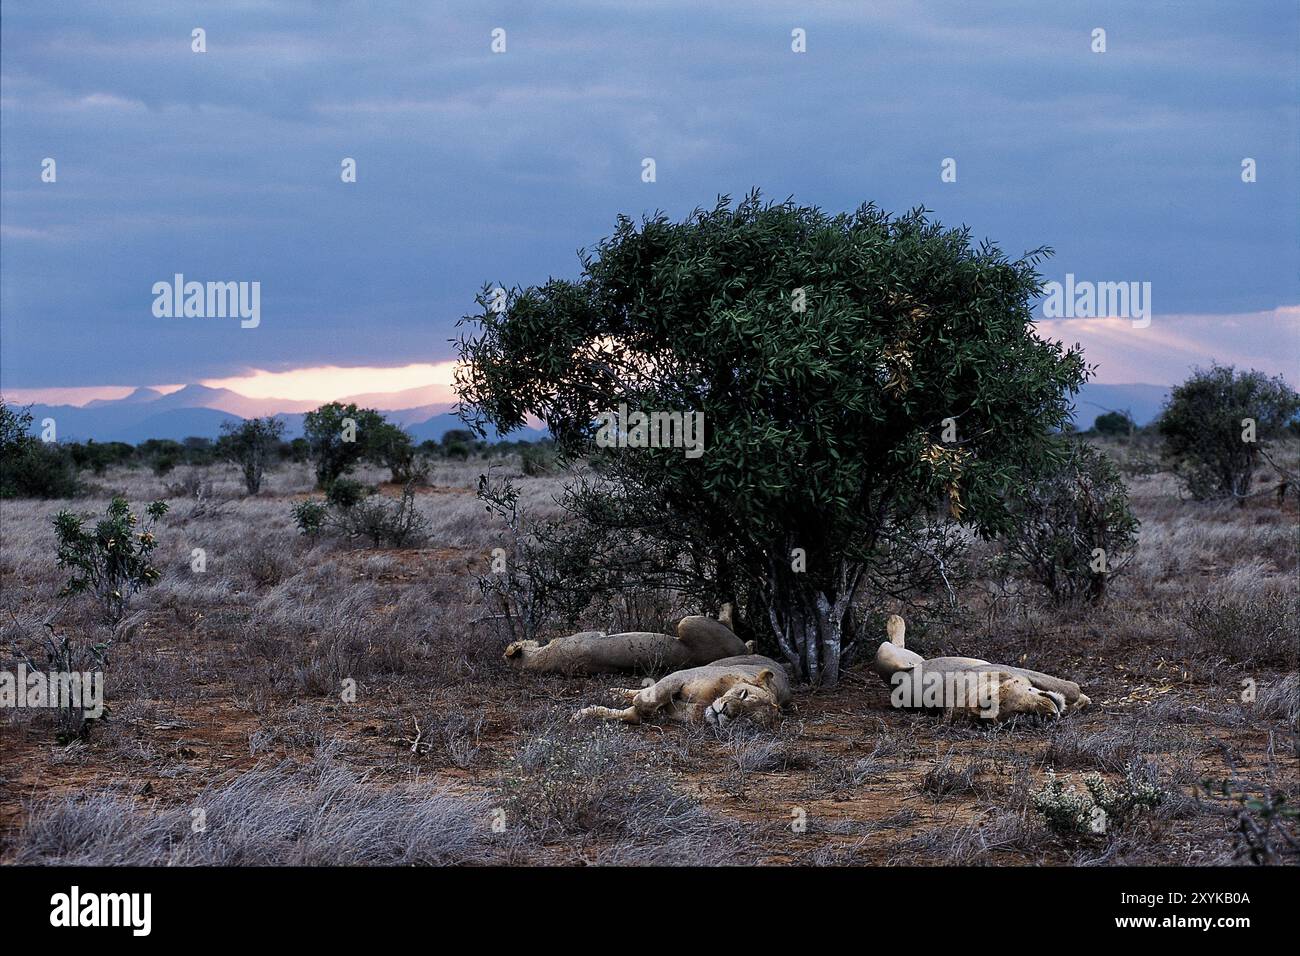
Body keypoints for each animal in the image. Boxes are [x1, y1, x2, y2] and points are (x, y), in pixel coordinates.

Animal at [575, 654, 791, 727]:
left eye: (745, 718)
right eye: (744, 694)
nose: (725, 711)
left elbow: (627, 715)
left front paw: (585, 713)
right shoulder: (682, 676)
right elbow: (651, 697)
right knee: (646, 689)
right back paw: (615, 692)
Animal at [870, 614, 1091, 719]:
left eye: (1027, 695)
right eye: (1022, 712)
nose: (1052, 714)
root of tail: (895, 682)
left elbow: (1068, 690)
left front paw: (1079, 700)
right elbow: (1072, 689)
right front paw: (1080, 699)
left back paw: (895, 619)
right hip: (885, 654)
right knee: (895, 643)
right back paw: (895, 621)